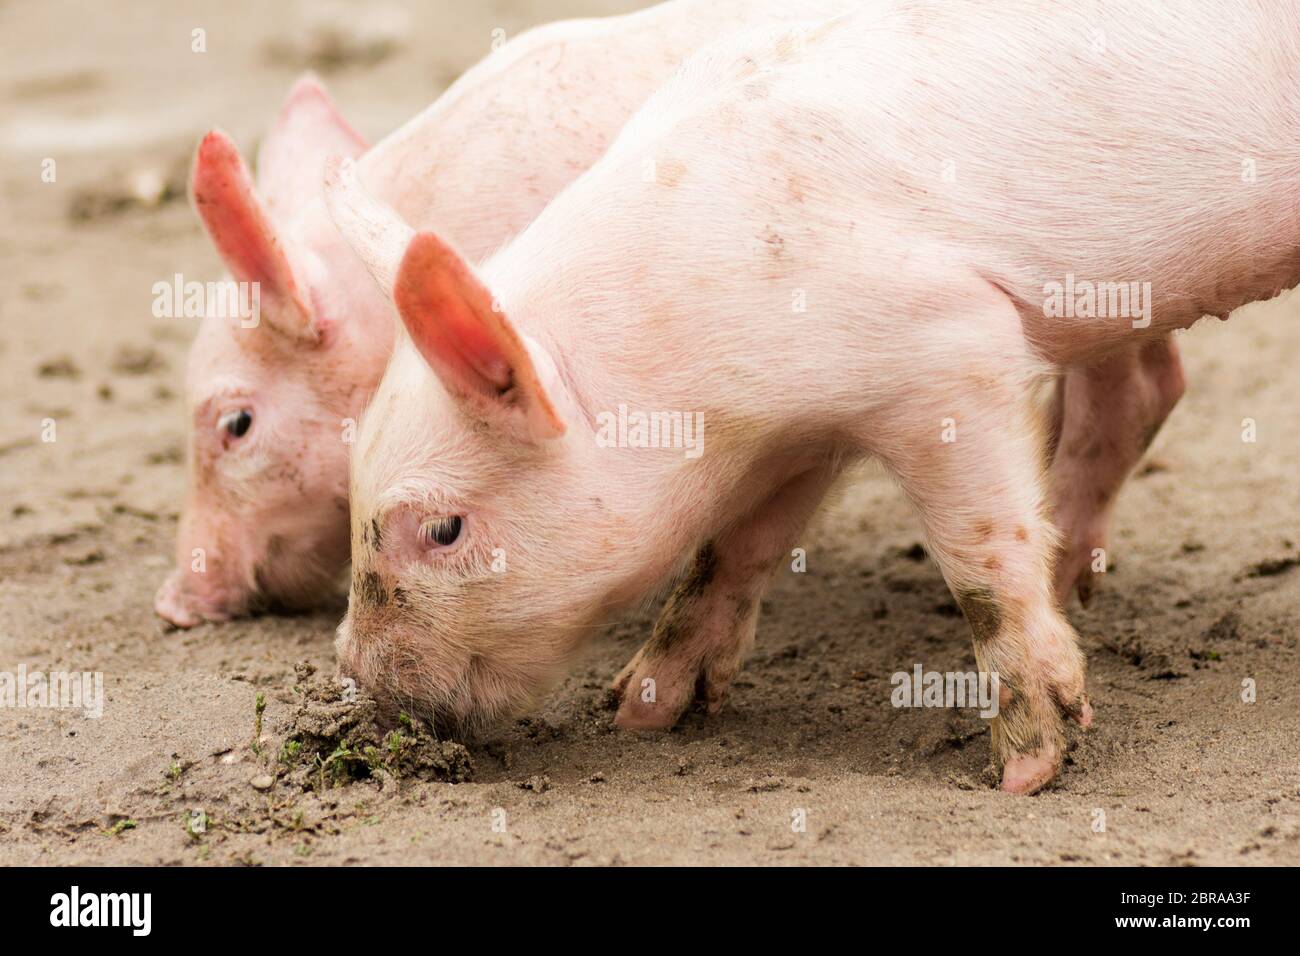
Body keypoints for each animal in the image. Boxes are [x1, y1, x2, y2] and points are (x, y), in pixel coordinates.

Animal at [332, 0, 1300, 794]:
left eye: (443, 529)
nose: (353, 678)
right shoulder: (795, 431)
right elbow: (730, 550)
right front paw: (639, 709)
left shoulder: (954, 350)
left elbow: (981, 561)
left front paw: (1027, 771)